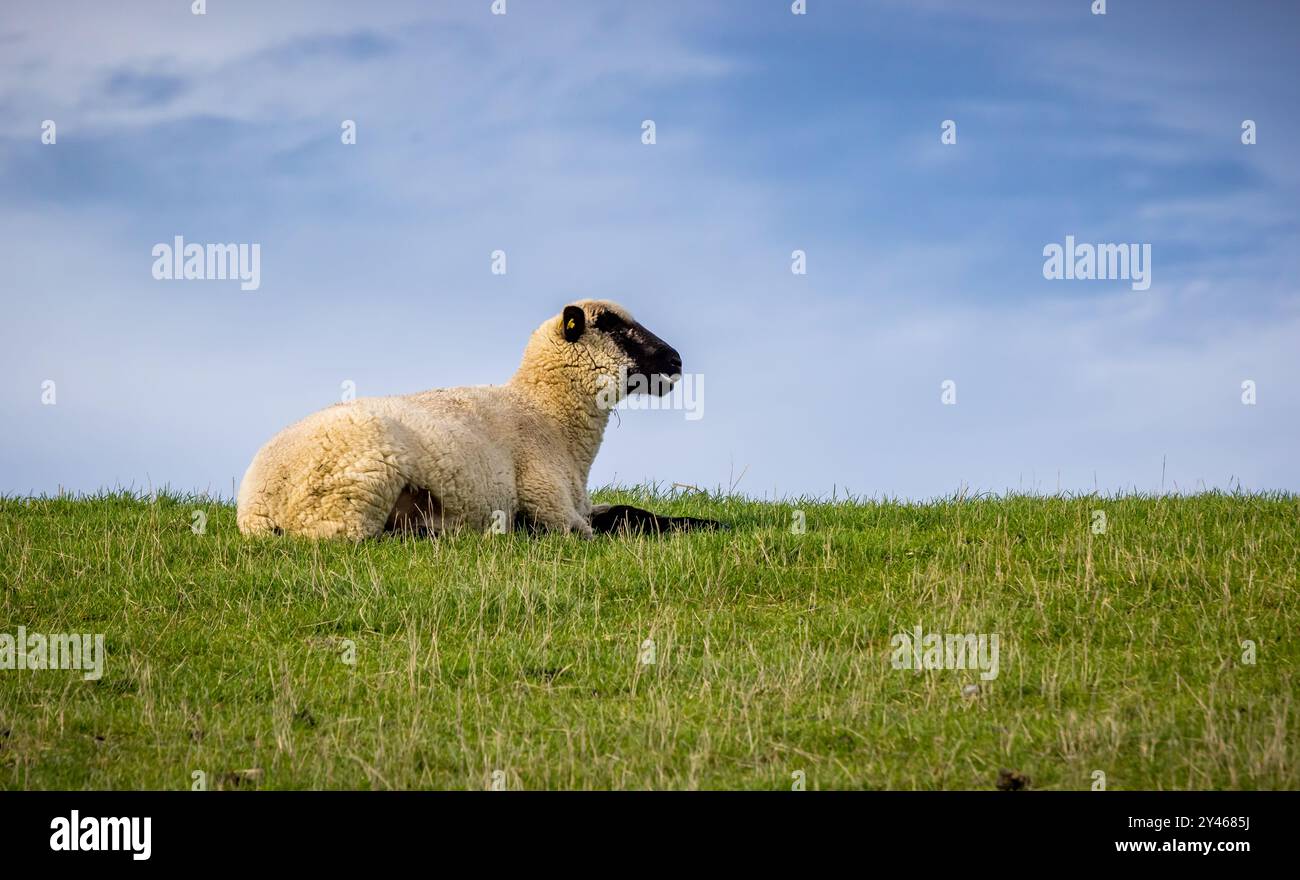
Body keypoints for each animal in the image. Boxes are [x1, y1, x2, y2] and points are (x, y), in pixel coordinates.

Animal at [236, 299, 720, 539]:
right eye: (612, 325)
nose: (676, 360)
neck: (547, 415)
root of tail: (254, 504)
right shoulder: (551, 505)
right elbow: (607, 530)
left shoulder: (578, 504)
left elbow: (631, 512)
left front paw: (713, 524)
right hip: (352, 492)